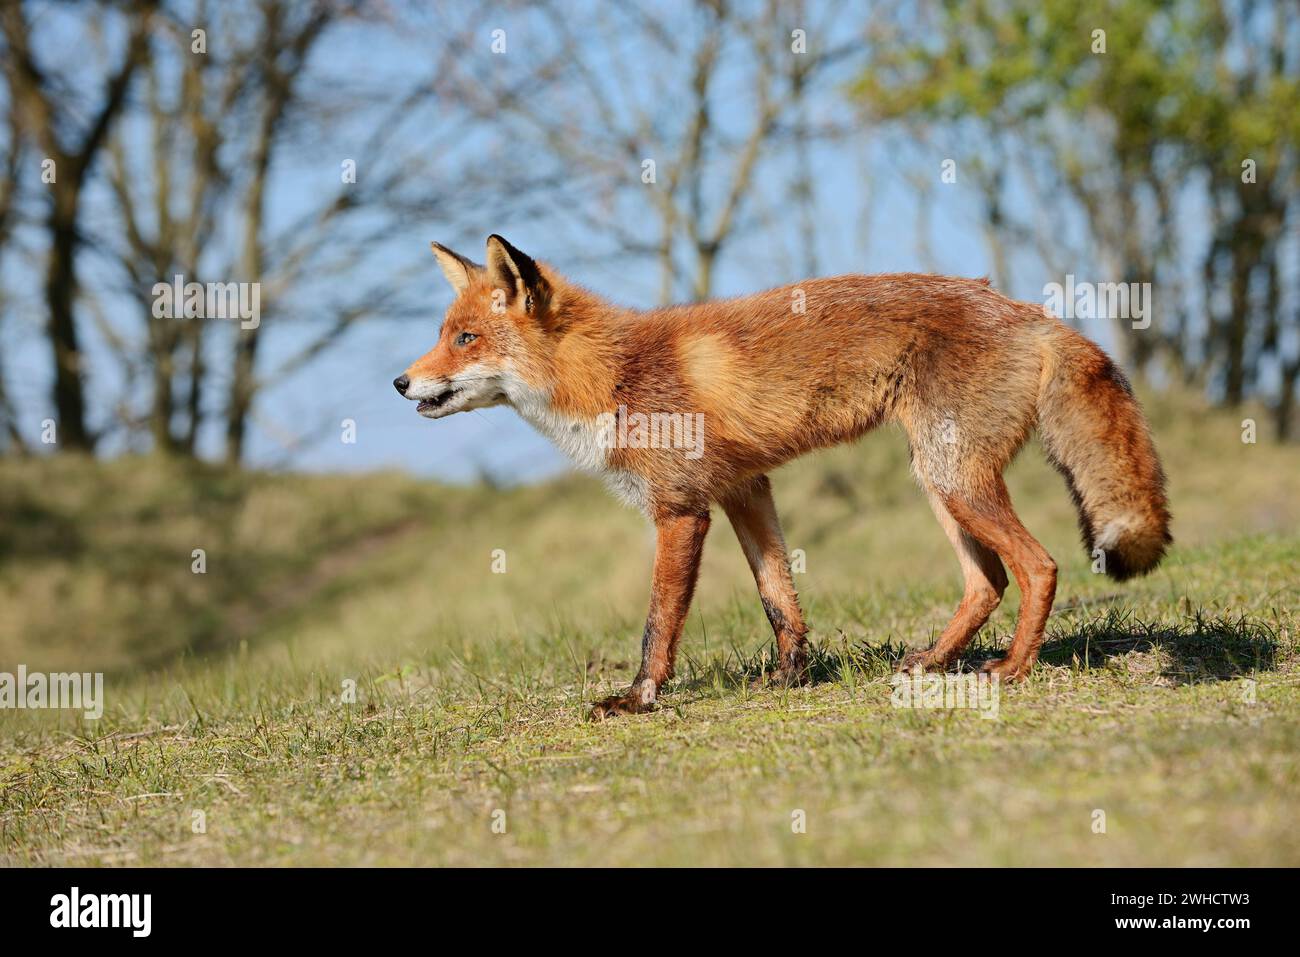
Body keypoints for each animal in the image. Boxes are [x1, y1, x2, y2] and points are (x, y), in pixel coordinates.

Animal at [395, 235, 1171, 719]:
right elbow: (777, 597)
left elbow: (656, 626)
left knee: (1038, 566)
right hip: (939, 479)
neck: (610, 377)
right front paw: (791, 675)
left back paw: (1010, 669)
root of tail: (1030, 312)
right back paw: (932, 661)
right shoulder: (746, 488)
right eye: (443, 334)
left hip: (955, 480)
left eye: (465, 339)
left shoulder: (681, 509)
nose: (400, 382)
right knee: (988, 581)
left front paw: (638, 699)